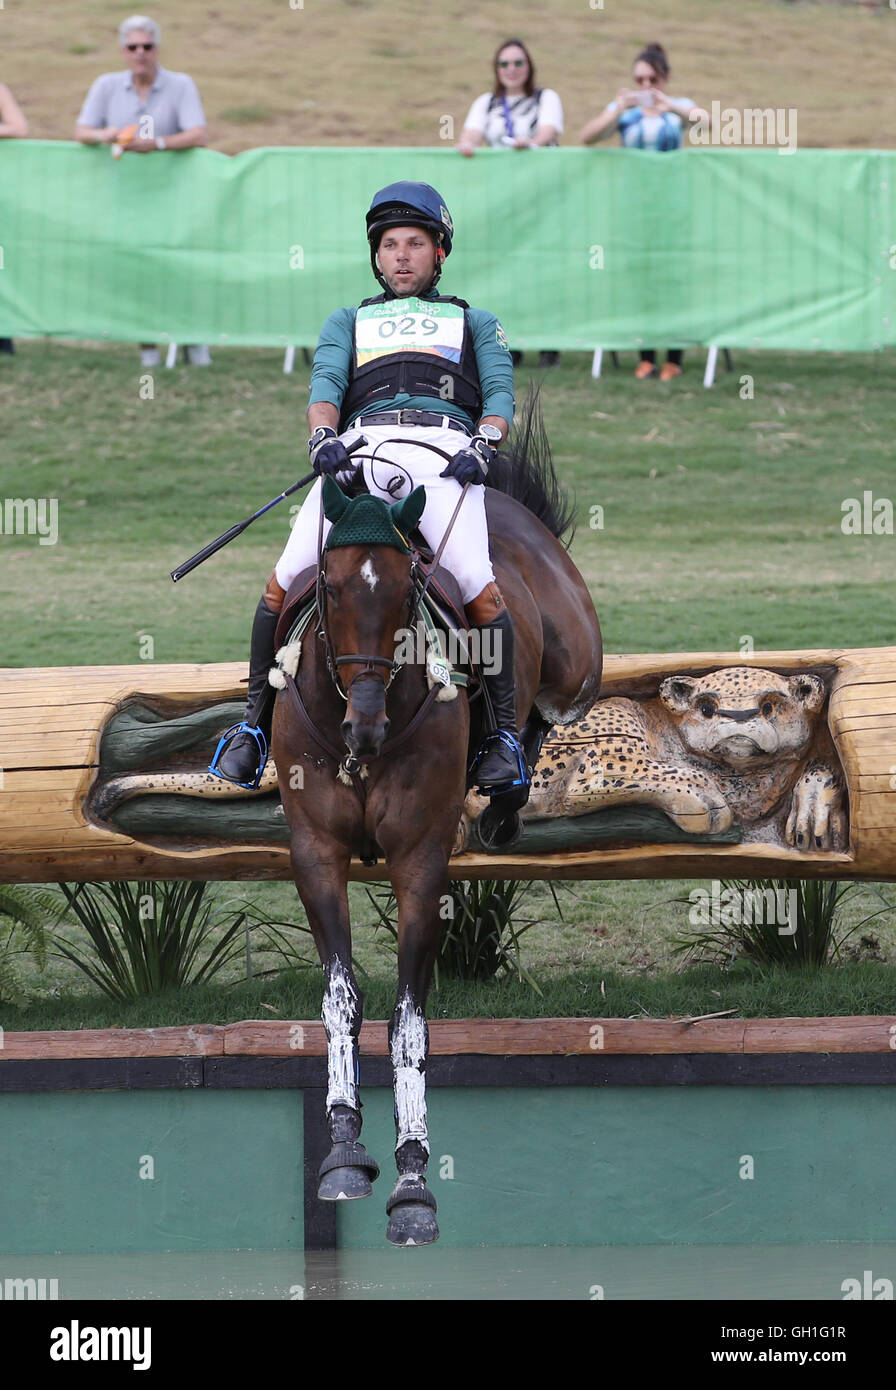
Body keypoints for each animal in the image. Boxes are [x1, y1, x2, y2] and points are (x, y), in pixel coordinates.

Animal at [271, 400, 602, 1245]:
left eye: (404, 590)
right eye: (329, 586)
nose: (364, 727)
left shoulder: (420, 860)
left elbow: (410, 1021)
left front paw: (414, 1179)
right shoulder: (315, 851)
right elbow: (342, 999)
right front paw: (344, 1147)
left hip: (575, 662)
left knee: (547, 704)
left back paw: (508, 773)